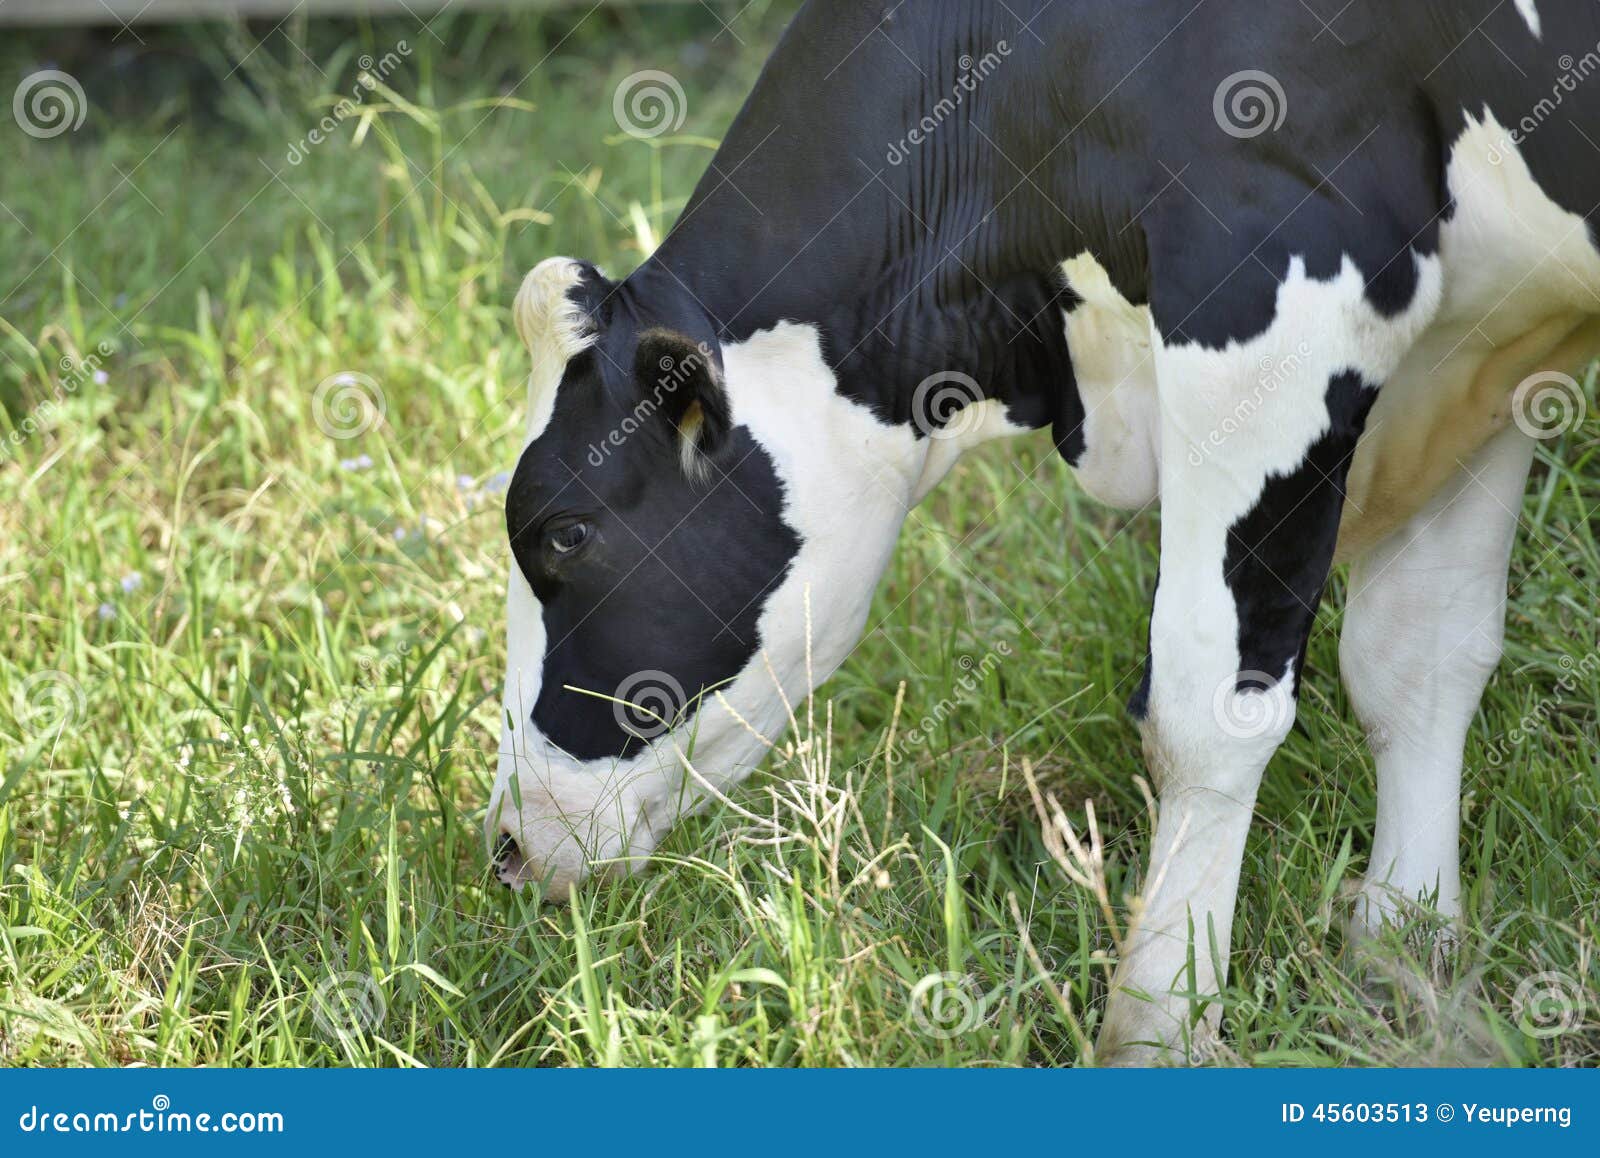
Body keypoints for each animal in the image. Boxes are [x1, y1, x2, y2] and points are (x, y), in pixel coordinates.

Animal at [485, 0, 1600, 1062]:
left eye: (561, 533)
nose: (505, 846)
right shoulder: (1482, 346)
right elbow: (1418, 659)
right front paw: (1404, 974)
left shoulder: (1269, 303)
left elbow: (1203, 713)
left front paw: (1159, 1030)